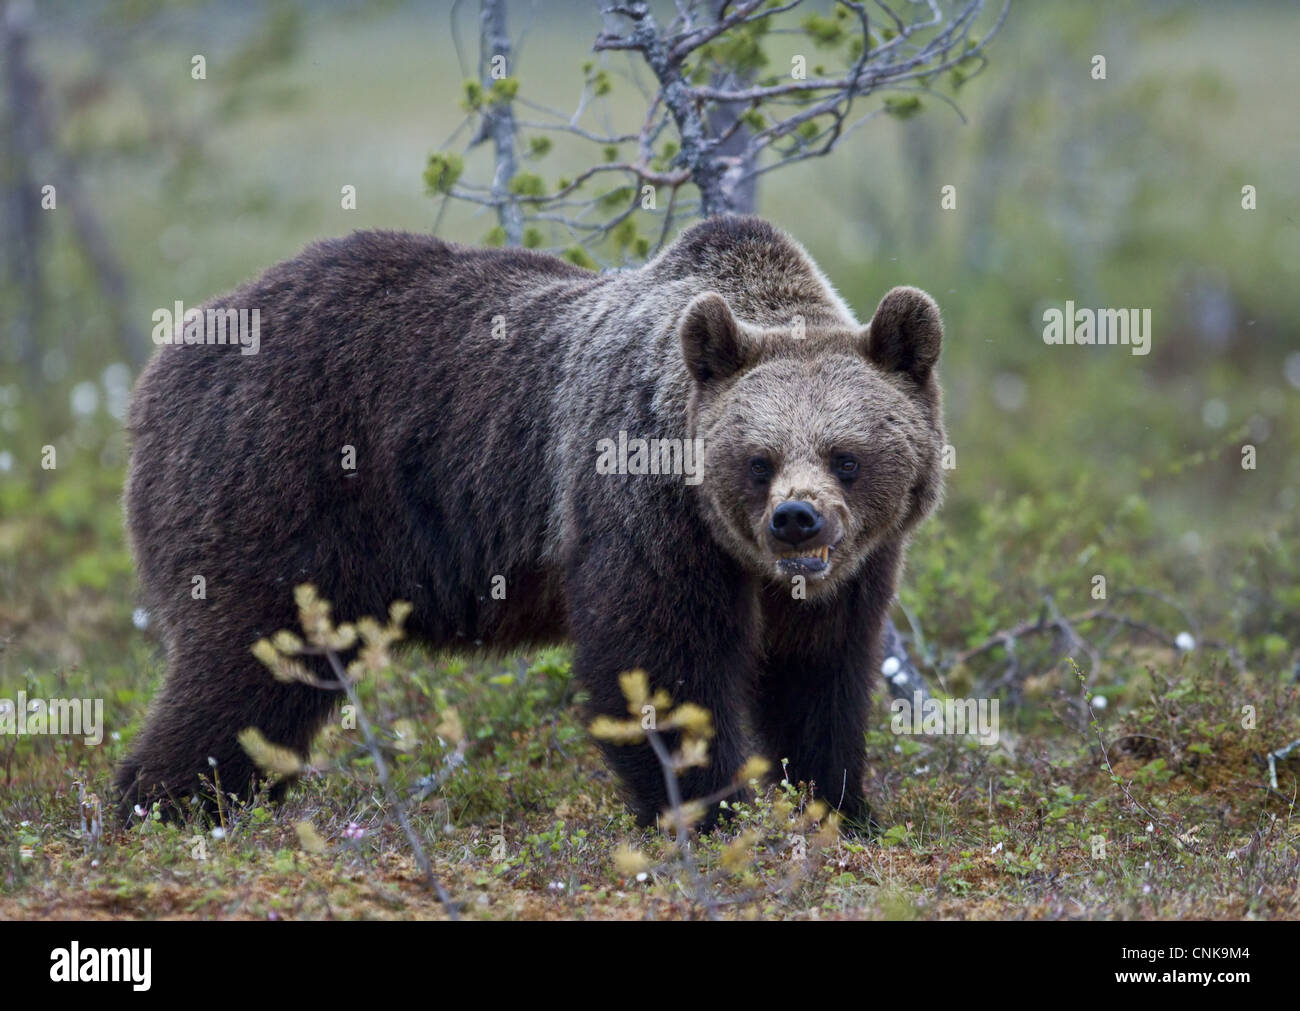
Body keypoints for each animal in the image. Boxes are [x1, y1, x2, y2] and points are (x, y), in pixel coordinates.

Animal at [115, 215, 945, 831]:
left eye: (846, 456)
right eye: (758, 459)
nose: (795, 522)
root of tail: (167, 359)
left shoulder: (853, 570)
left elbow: (818, 675)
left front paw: (843, 808)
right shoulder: (641, 507)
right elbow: (657, 657)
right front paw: (711, 814)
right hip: (276, 486)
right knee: (245, 668)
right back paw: (168, 806)